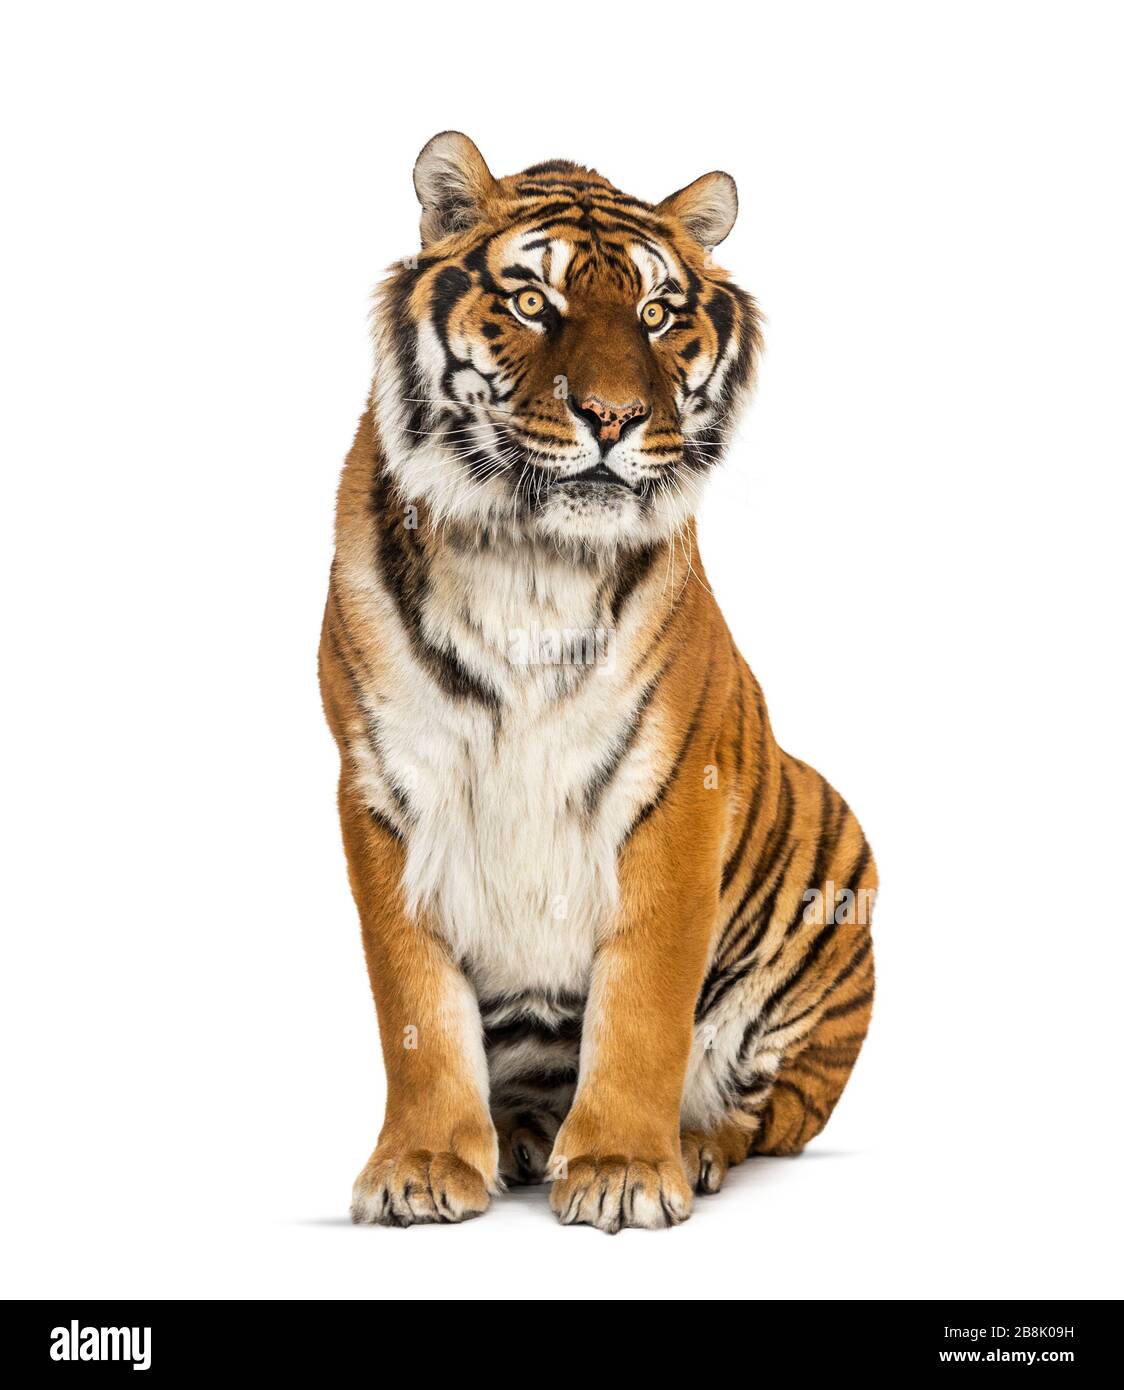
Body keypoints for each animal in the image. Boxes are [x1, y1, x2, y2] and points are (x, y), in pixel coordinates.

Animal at [319, 132, 877, 1233]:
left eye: (657, 315)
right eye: (534, 301)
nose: (613, 418)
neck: (529, 559)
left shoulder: (675, 790)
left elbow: (645, 1003)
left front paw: (622, 1165)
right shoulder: (384, 784)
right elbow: (414, 1005)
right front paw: (421, 1165)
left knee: (768, 1114)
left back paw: (689, 1145)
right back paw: (525, 1136)